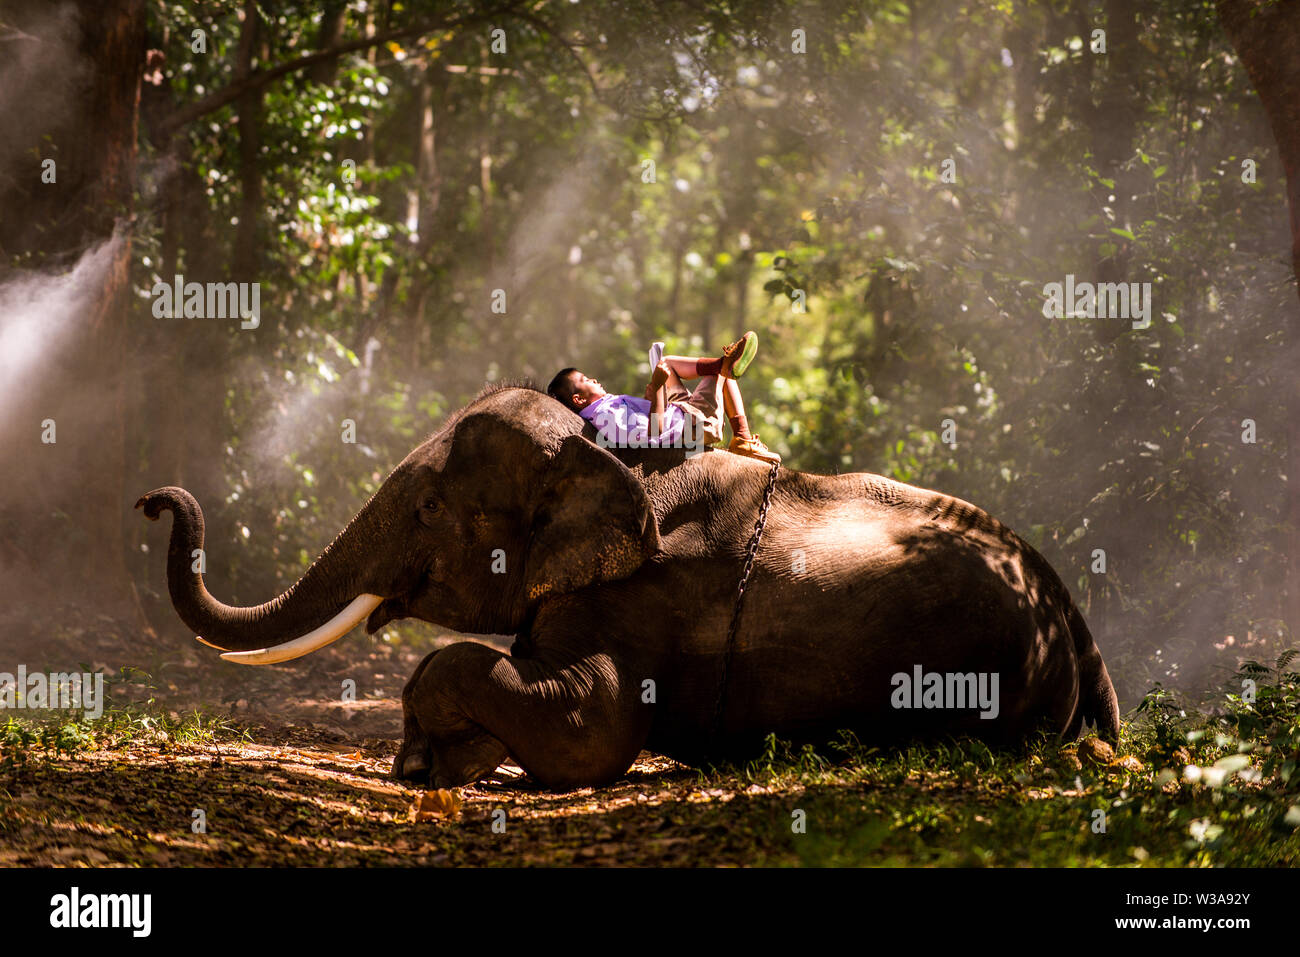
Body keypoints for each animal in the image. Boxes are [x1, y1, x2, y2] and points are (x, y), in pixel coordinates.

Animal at [136, 382, 1121, 790]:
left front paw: (435, 764)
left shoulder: (646, 597)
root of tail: (1072, 613)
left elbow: (597, 728)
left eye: (429, 508)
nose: (151, 499)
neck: (601, 457)